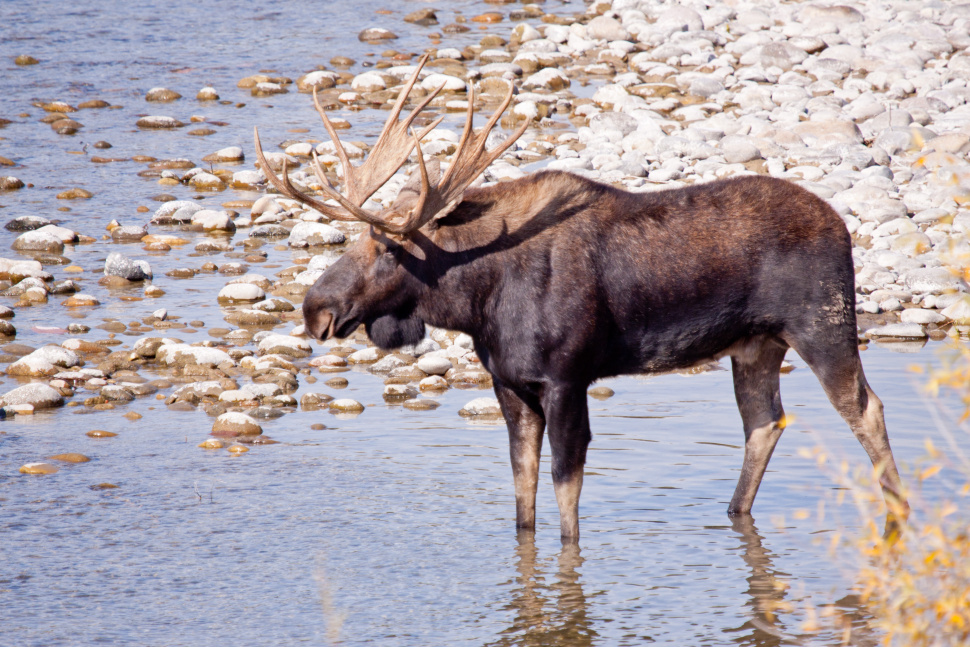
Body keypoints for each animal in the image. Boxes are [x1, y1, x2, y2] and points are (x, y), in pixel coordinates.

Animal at [254, 54, 906, 540]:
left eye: (388, 249)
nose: (314, 309)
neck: (478, 302)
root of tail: (843, 226)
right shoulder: (510, 384)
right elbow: (523, 496)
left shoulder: (566, 378)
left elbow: (566, 494)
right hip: (754, 345)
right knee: (764, 422)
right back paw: (735, 511)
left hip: (822, 324)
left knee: (866, 408)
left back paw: (899, 508)